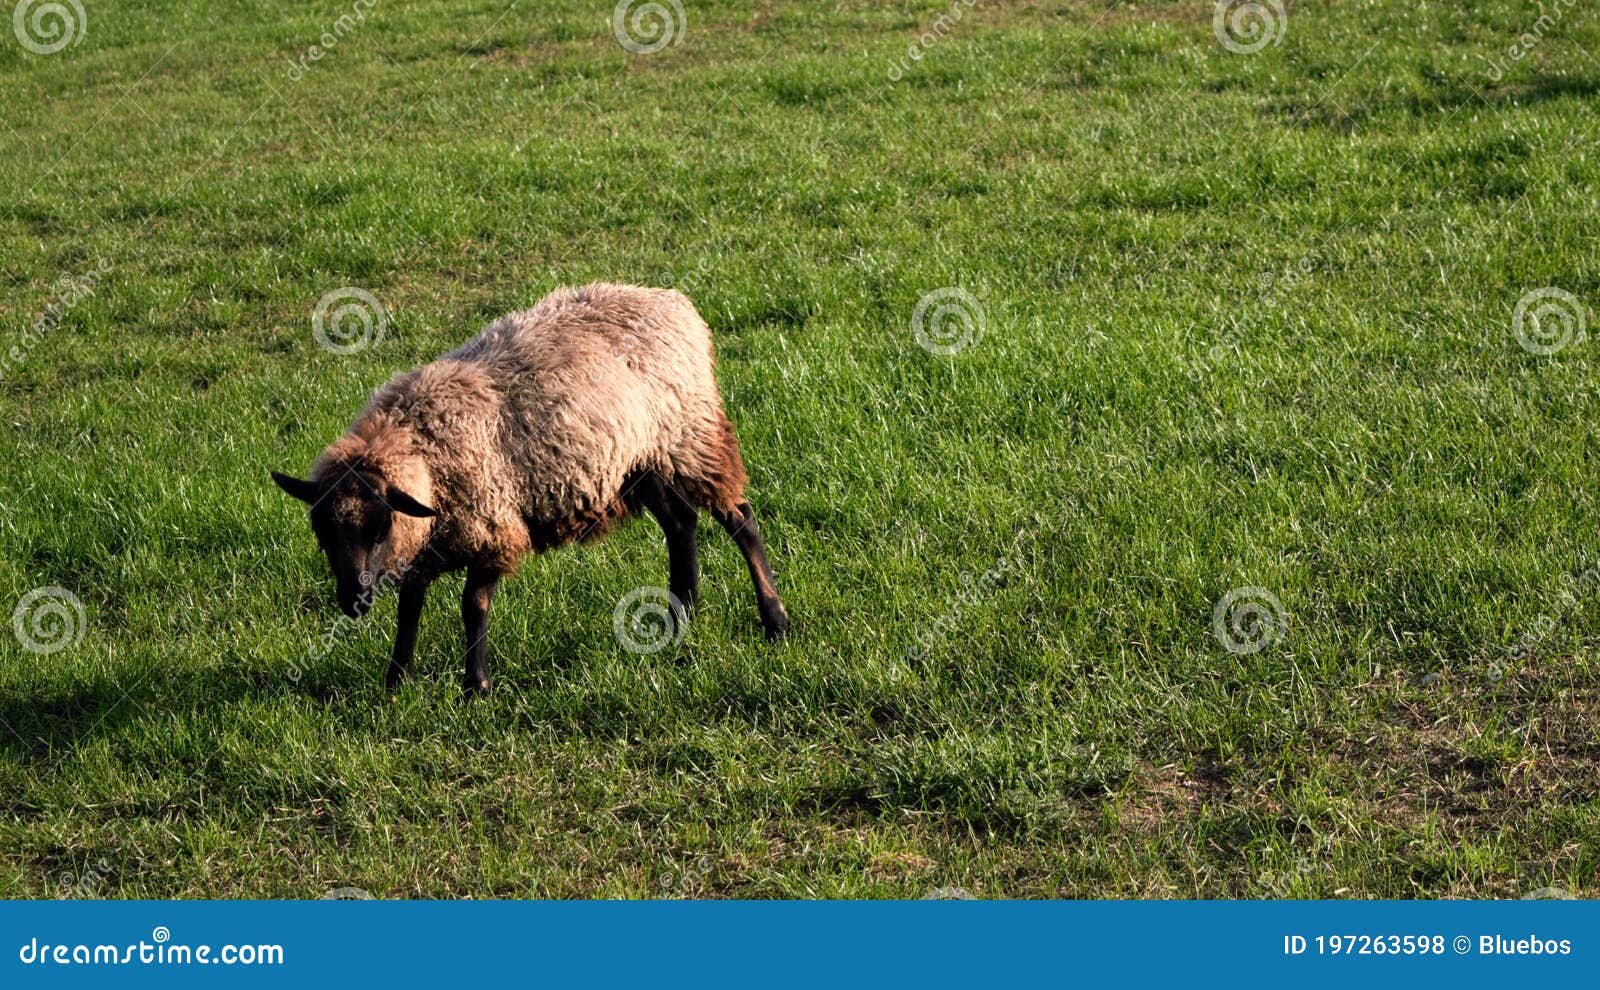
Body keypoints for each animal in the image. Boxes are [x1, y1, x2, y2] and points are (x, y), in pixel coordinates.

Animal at [271, 282, 789, 695]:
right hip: (641, 462)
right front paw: (396, 681)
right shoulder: (426, 542)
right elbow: (409, 608)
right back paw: (681, 613)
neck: (422, 442)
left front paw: (476, 686)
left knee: (741, 521)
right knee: (681, 525)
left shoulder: (491, 530)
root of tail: (671, 301)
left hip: (691, 438)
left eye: (381, 526)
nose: (353, 603)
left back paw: (775, 620)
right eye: (323, 532)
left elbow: (472, 606)